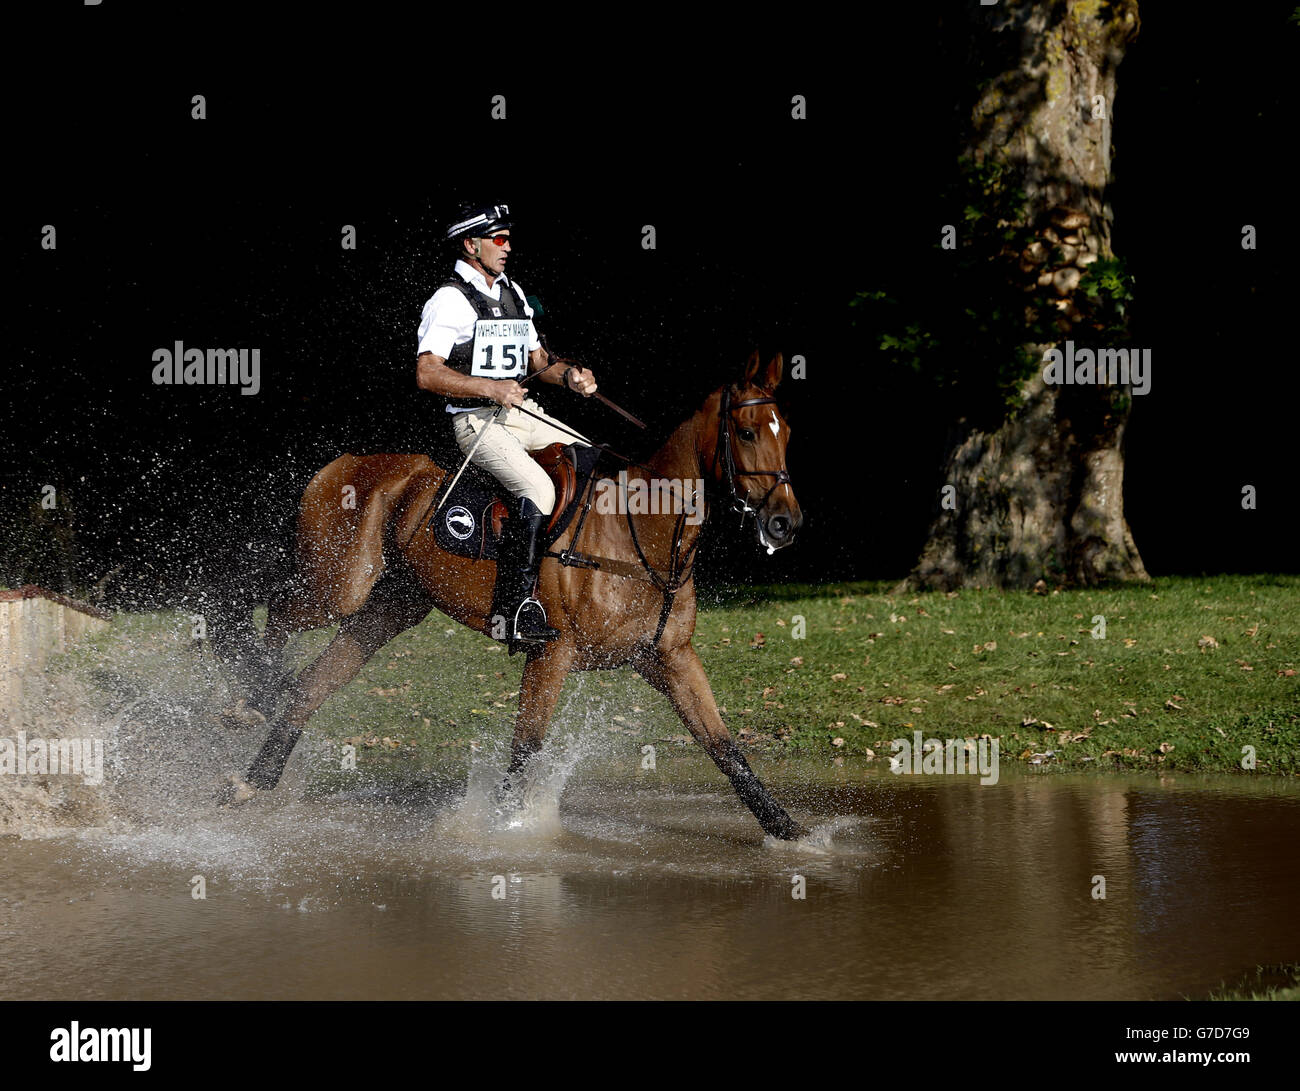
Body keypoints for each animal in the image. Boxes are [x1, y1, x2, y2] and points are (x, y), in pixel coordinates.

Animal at [221, 350, 806, 840]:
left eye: (786, 434)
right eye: (747, 432)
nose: (785, 522)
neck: (639, 530)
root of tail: (340, 463)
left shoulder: (670, 657)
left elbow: (724, 747)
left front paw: (787, 829)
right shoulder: (553, 652)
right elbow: (526, 748)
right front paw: (506, 827)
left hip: (391, 607)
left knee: (314, 683)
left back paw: (255, 777)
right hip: (335, 589)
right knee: (275, 615)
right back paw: (250, 698)